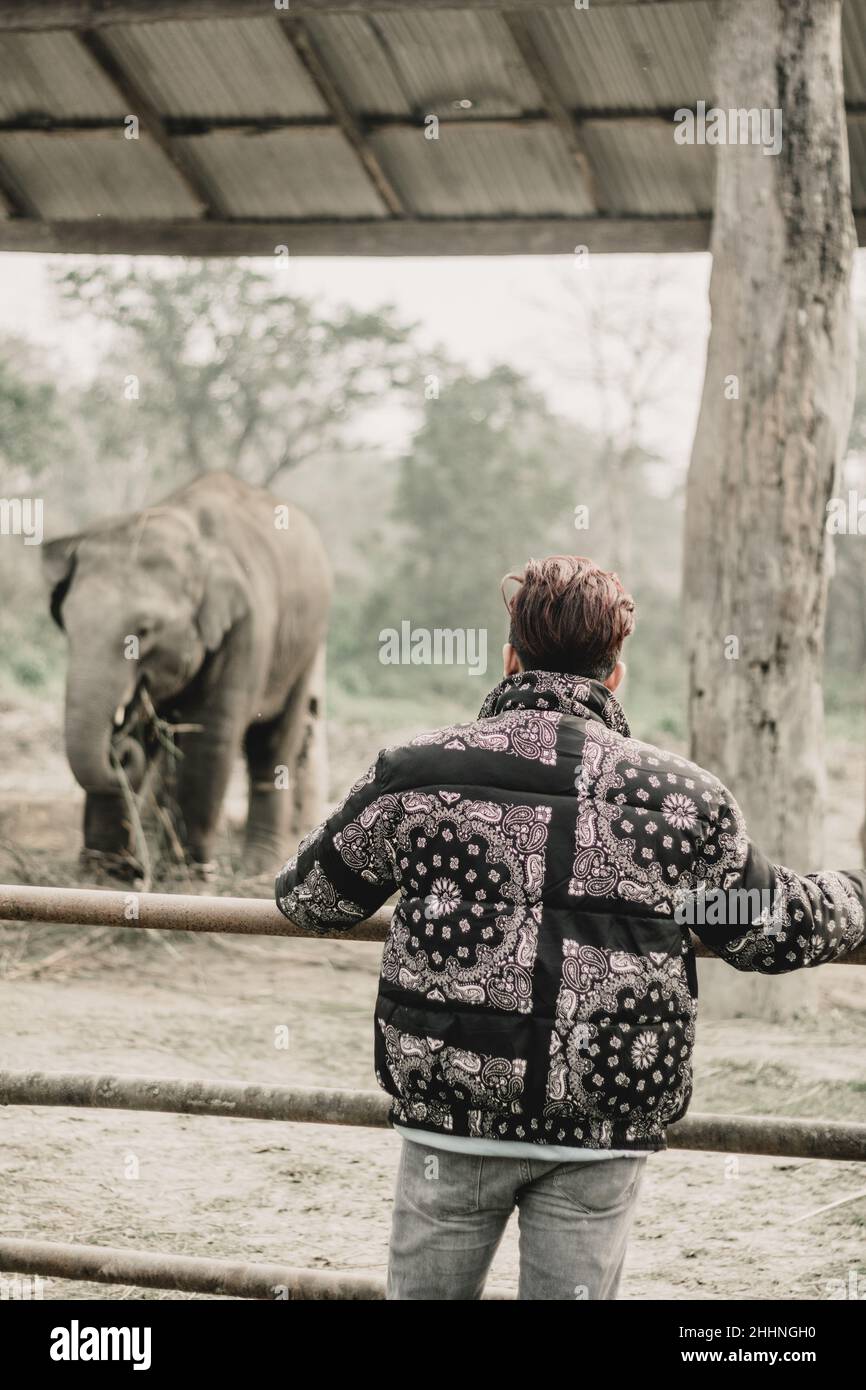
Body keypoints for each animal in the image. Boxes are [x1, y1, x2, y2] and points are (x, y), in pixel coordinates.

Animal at [42, 471, 332, 882]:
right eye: (65, 622)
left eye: (144, 631)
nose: (118, 752)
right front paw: (101, 876)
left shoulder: (247, 628)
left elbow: (211, 736)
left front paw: (184, 877)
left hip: (305, 648)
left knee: (273, 745)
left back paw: (256, 868)